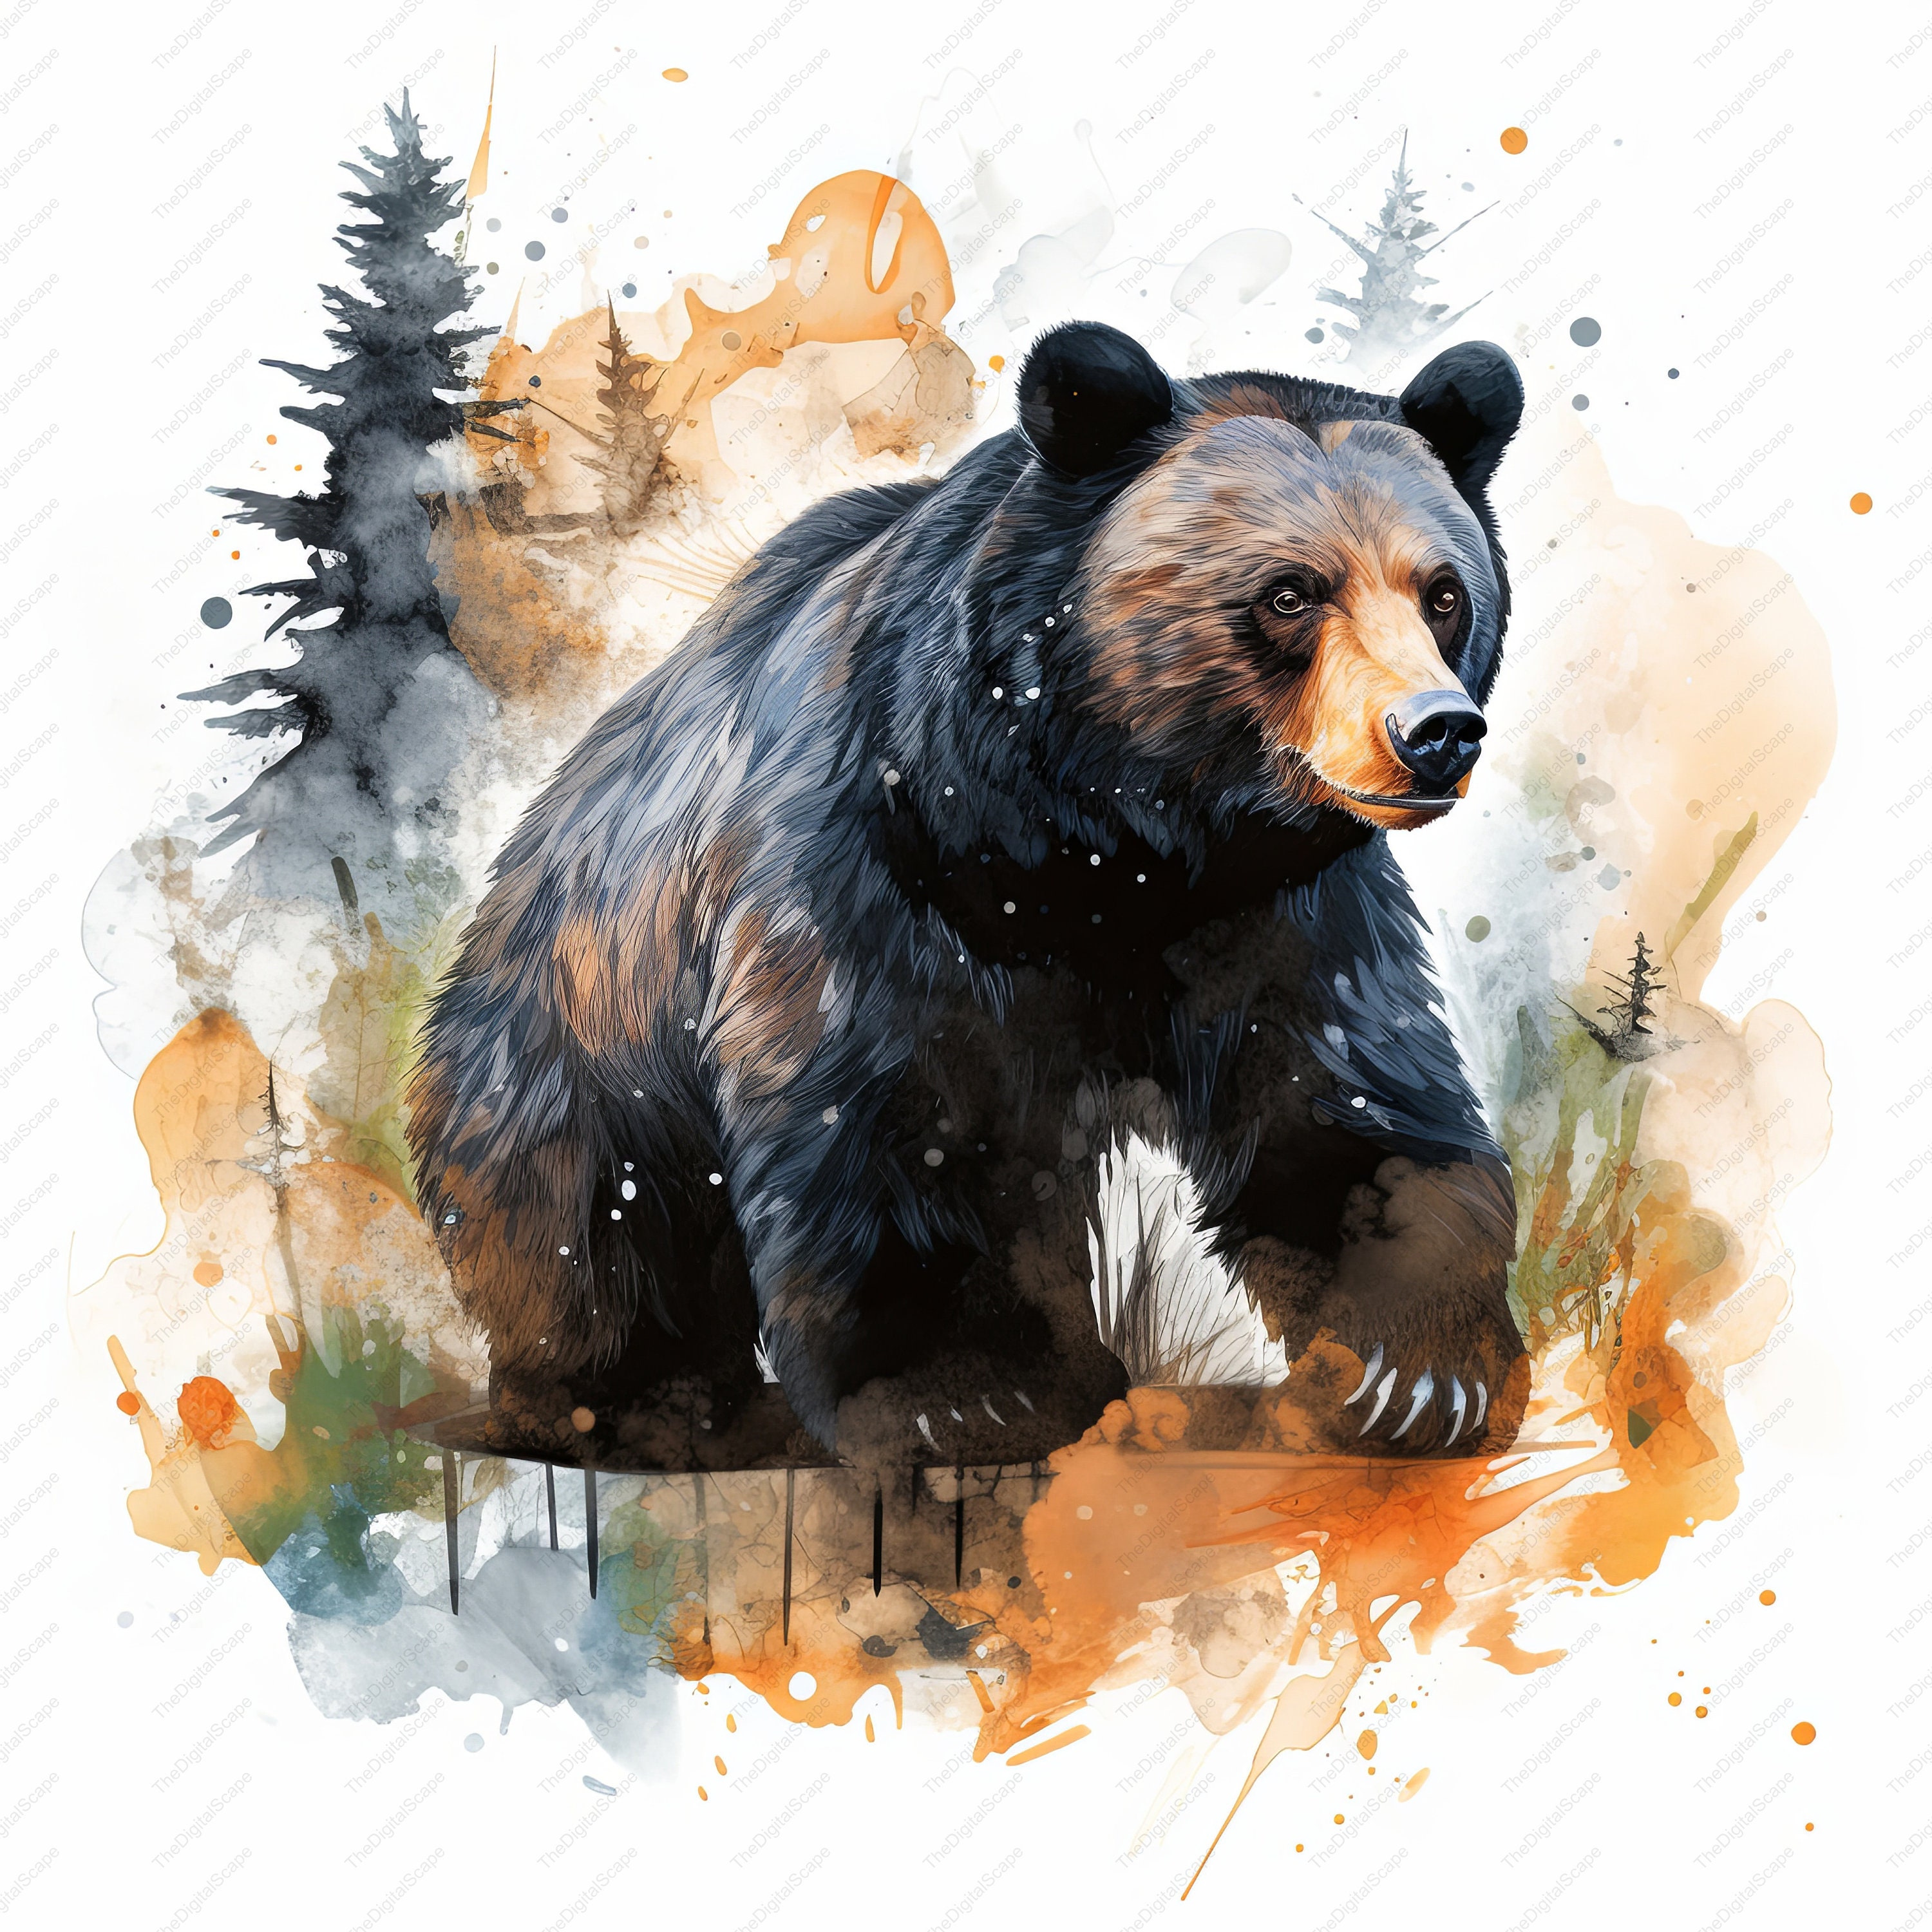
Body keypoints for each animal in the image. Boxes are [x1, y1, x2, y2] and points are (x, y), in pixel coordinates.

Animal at [406, 320, 1531, 1471]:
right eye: (1291, 592)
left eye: (1443, 592)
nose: (1437, 731)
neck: (1105, 840)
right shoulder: (883, 868)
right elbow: (890, 1111)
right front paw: (964, 1396)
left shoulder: (1280, 908)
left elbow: (1339, 1100)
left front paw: (1412, 1374)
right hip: (581, 1029)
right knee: (594, 1219)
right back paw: (634, 1402)